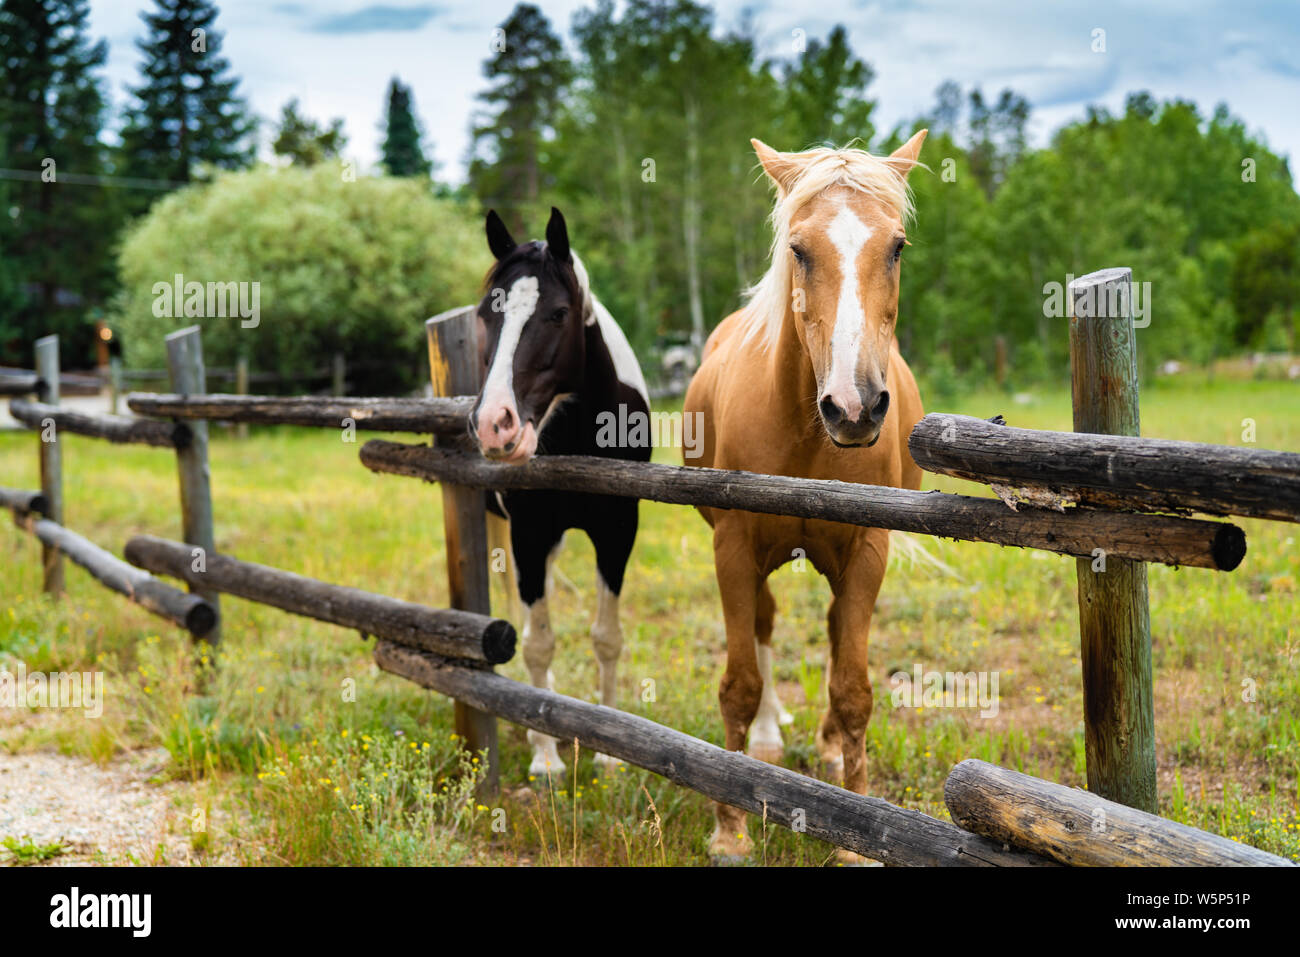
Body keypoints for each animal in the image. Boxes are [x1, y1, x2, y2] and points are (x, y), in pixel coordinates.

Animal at [471, 206, 652, 779]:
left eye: (557, 313)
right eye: (486, 314)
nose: (494, 425)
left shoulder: (617, 530)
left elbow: (607, 638)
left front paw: (610, 755)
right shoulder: (528, 532)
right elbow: (537, 643)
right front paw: (546, 755)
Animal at [683, 131, 928, 860]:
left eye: (896, 247)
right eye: (798, 249)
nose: (855, 406)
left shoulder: (867, 549)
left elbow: (853, 689)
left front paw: (855, 836)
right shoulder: (733, 546)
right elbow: (740, 683)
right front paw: (730, 829)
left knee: (832, 632)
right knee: (764, 625)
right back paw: (767, 741)